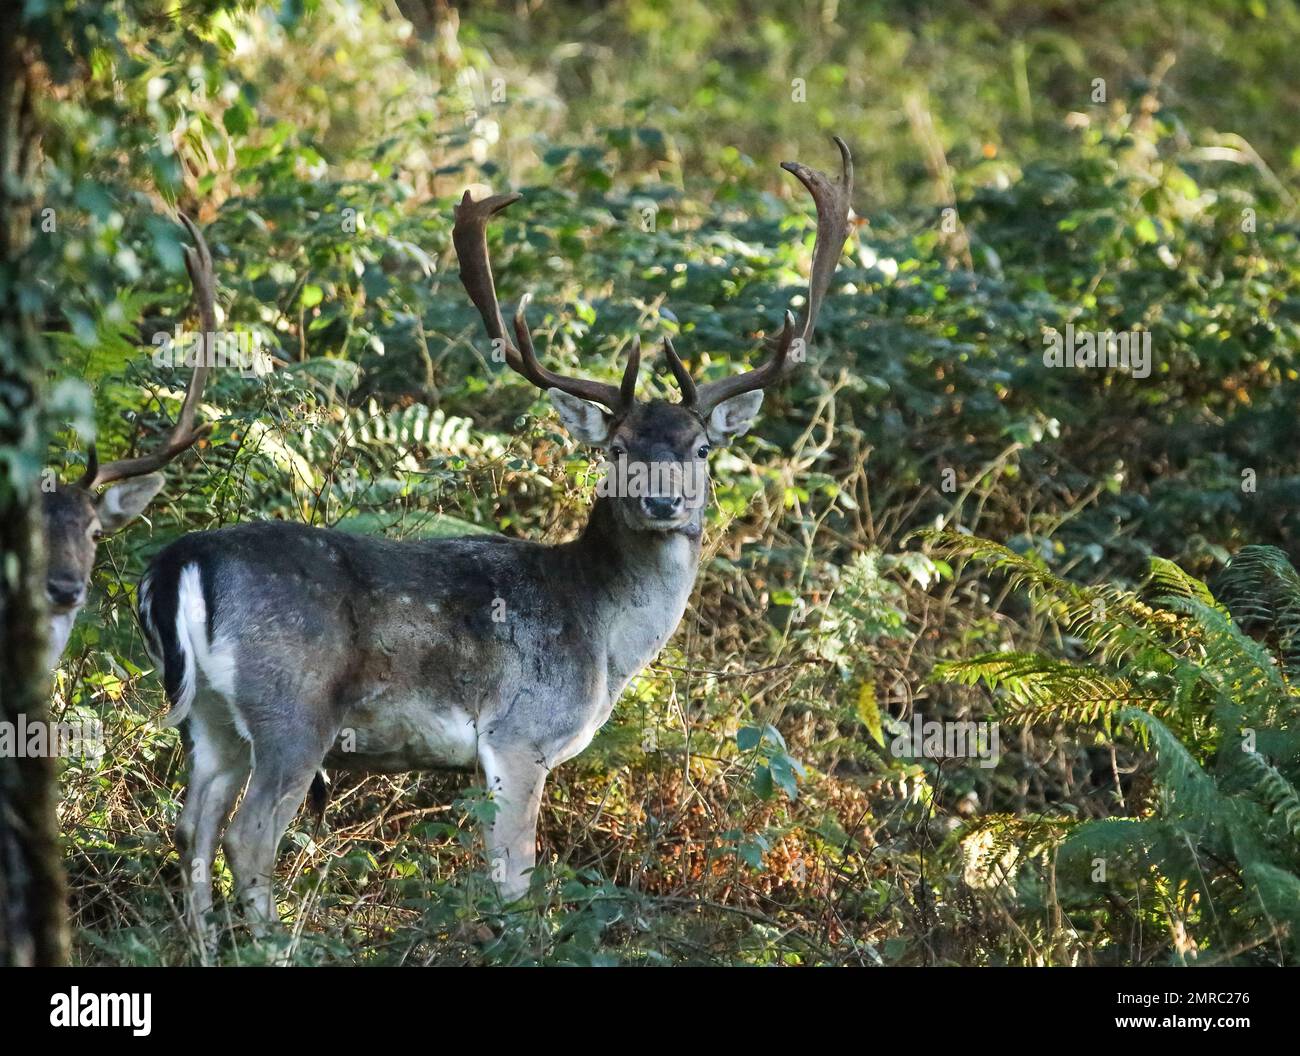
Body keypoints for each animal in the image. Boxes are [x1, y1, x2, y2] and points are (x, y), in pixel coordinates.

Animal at [137, 138, 853, 938]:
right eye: (616, 448)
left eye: (701, 448)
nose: (664, 503)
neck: (602, 641)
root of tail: (181, 560)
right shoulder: (519, 736)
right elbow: (514, 882)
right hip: (292, 705)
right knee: (247, 833)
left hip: (209, 717)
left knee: (190, 826)